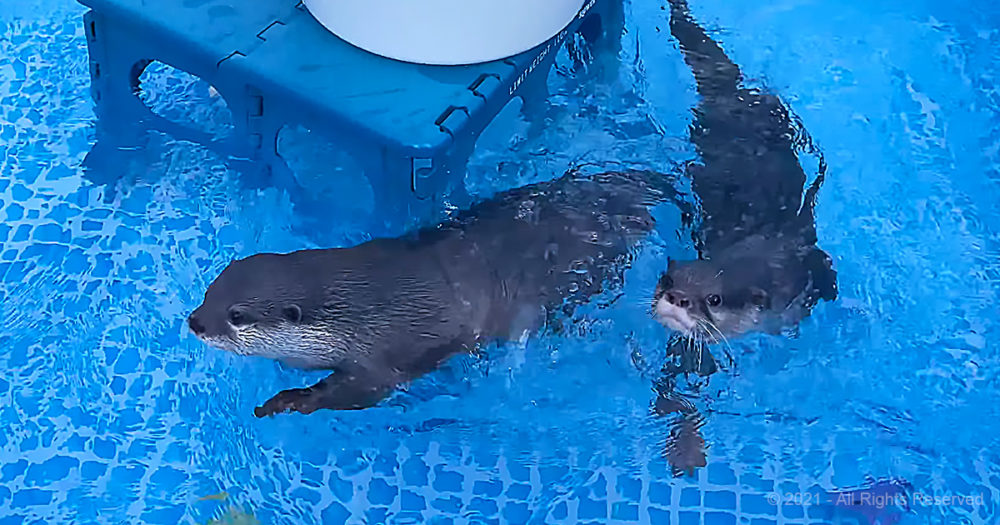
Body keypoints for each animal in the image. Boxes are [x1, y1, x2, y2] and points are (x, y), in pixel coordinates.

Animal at [188, 171, 667, 417]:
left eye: (236, 316)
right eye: (208, 292)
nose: (195, 322)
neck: (349, 316)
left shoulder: (379, 354)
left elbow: (362, 392)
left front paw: (286, 402)